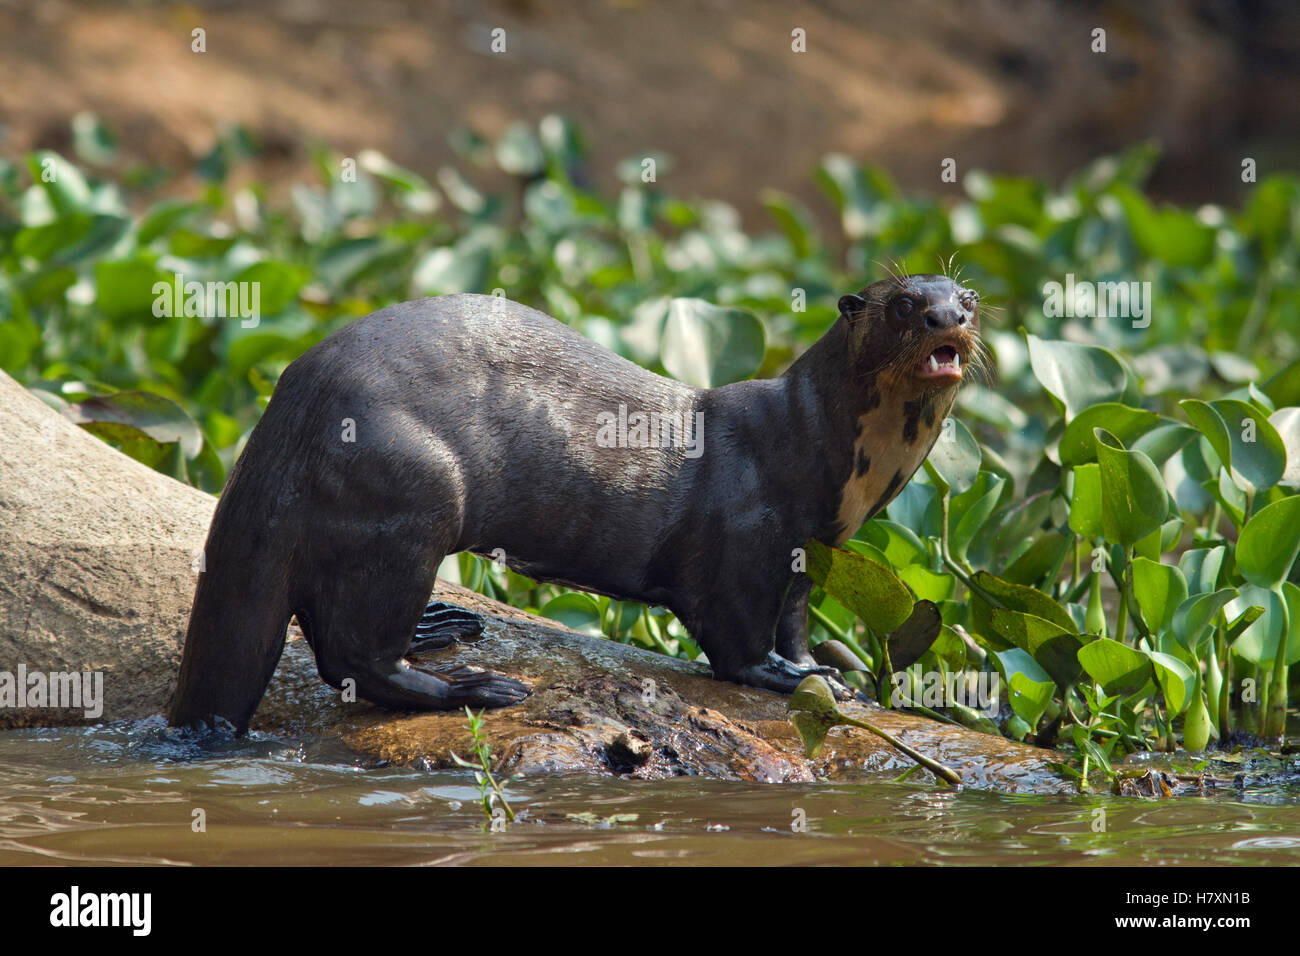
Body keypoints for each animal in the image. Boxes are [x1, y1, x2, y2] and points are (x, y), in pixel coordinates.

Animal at [169, 275, 981, 733]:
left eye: (968, 298)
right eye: (905, 305)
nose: (948, 320)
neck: (819, 449)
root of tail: (286, 426)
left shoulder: (813, 552)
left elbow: (796, 623)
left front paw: (828, 674)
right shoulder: (743, 540)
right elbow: (736, 639)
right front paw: (782, 678)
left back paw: (443, 627)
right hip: (411, 488)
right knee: (349, 654)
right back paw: (476, 687)